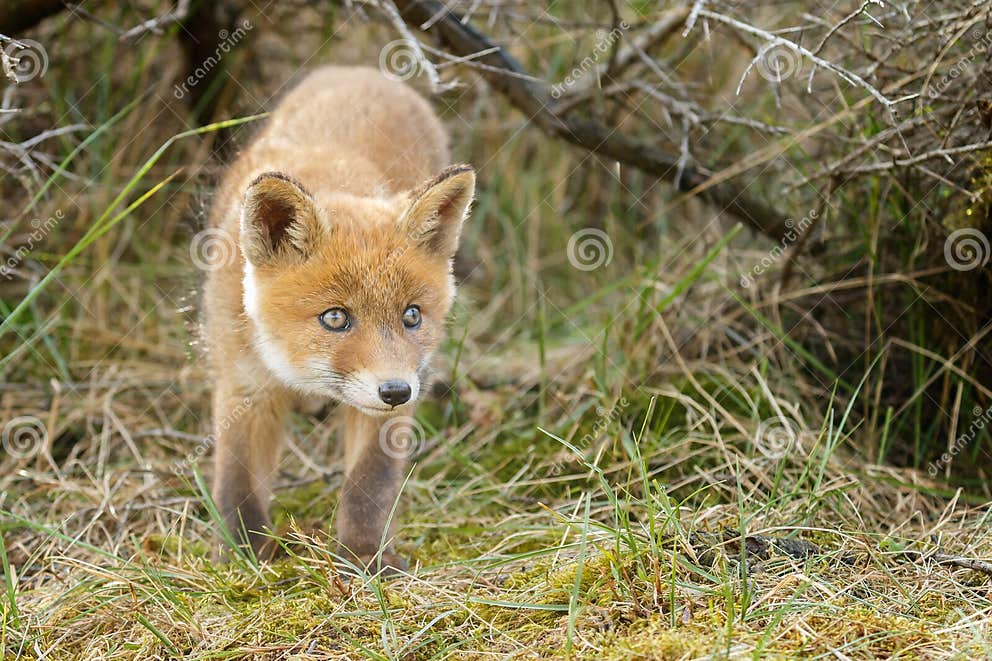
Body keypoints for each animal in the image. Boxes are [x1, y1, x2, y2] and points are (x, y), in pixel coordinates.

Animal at [202, 66, 475, 570]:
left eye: (411, 315)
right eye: (335, 318)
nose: (396, 391)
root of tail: (361, 70)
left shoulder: (395, 399)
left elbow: (369, 484)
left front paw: (366, 558)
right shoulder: (243, 383)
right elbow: (237, 483)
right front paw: (242, 560)